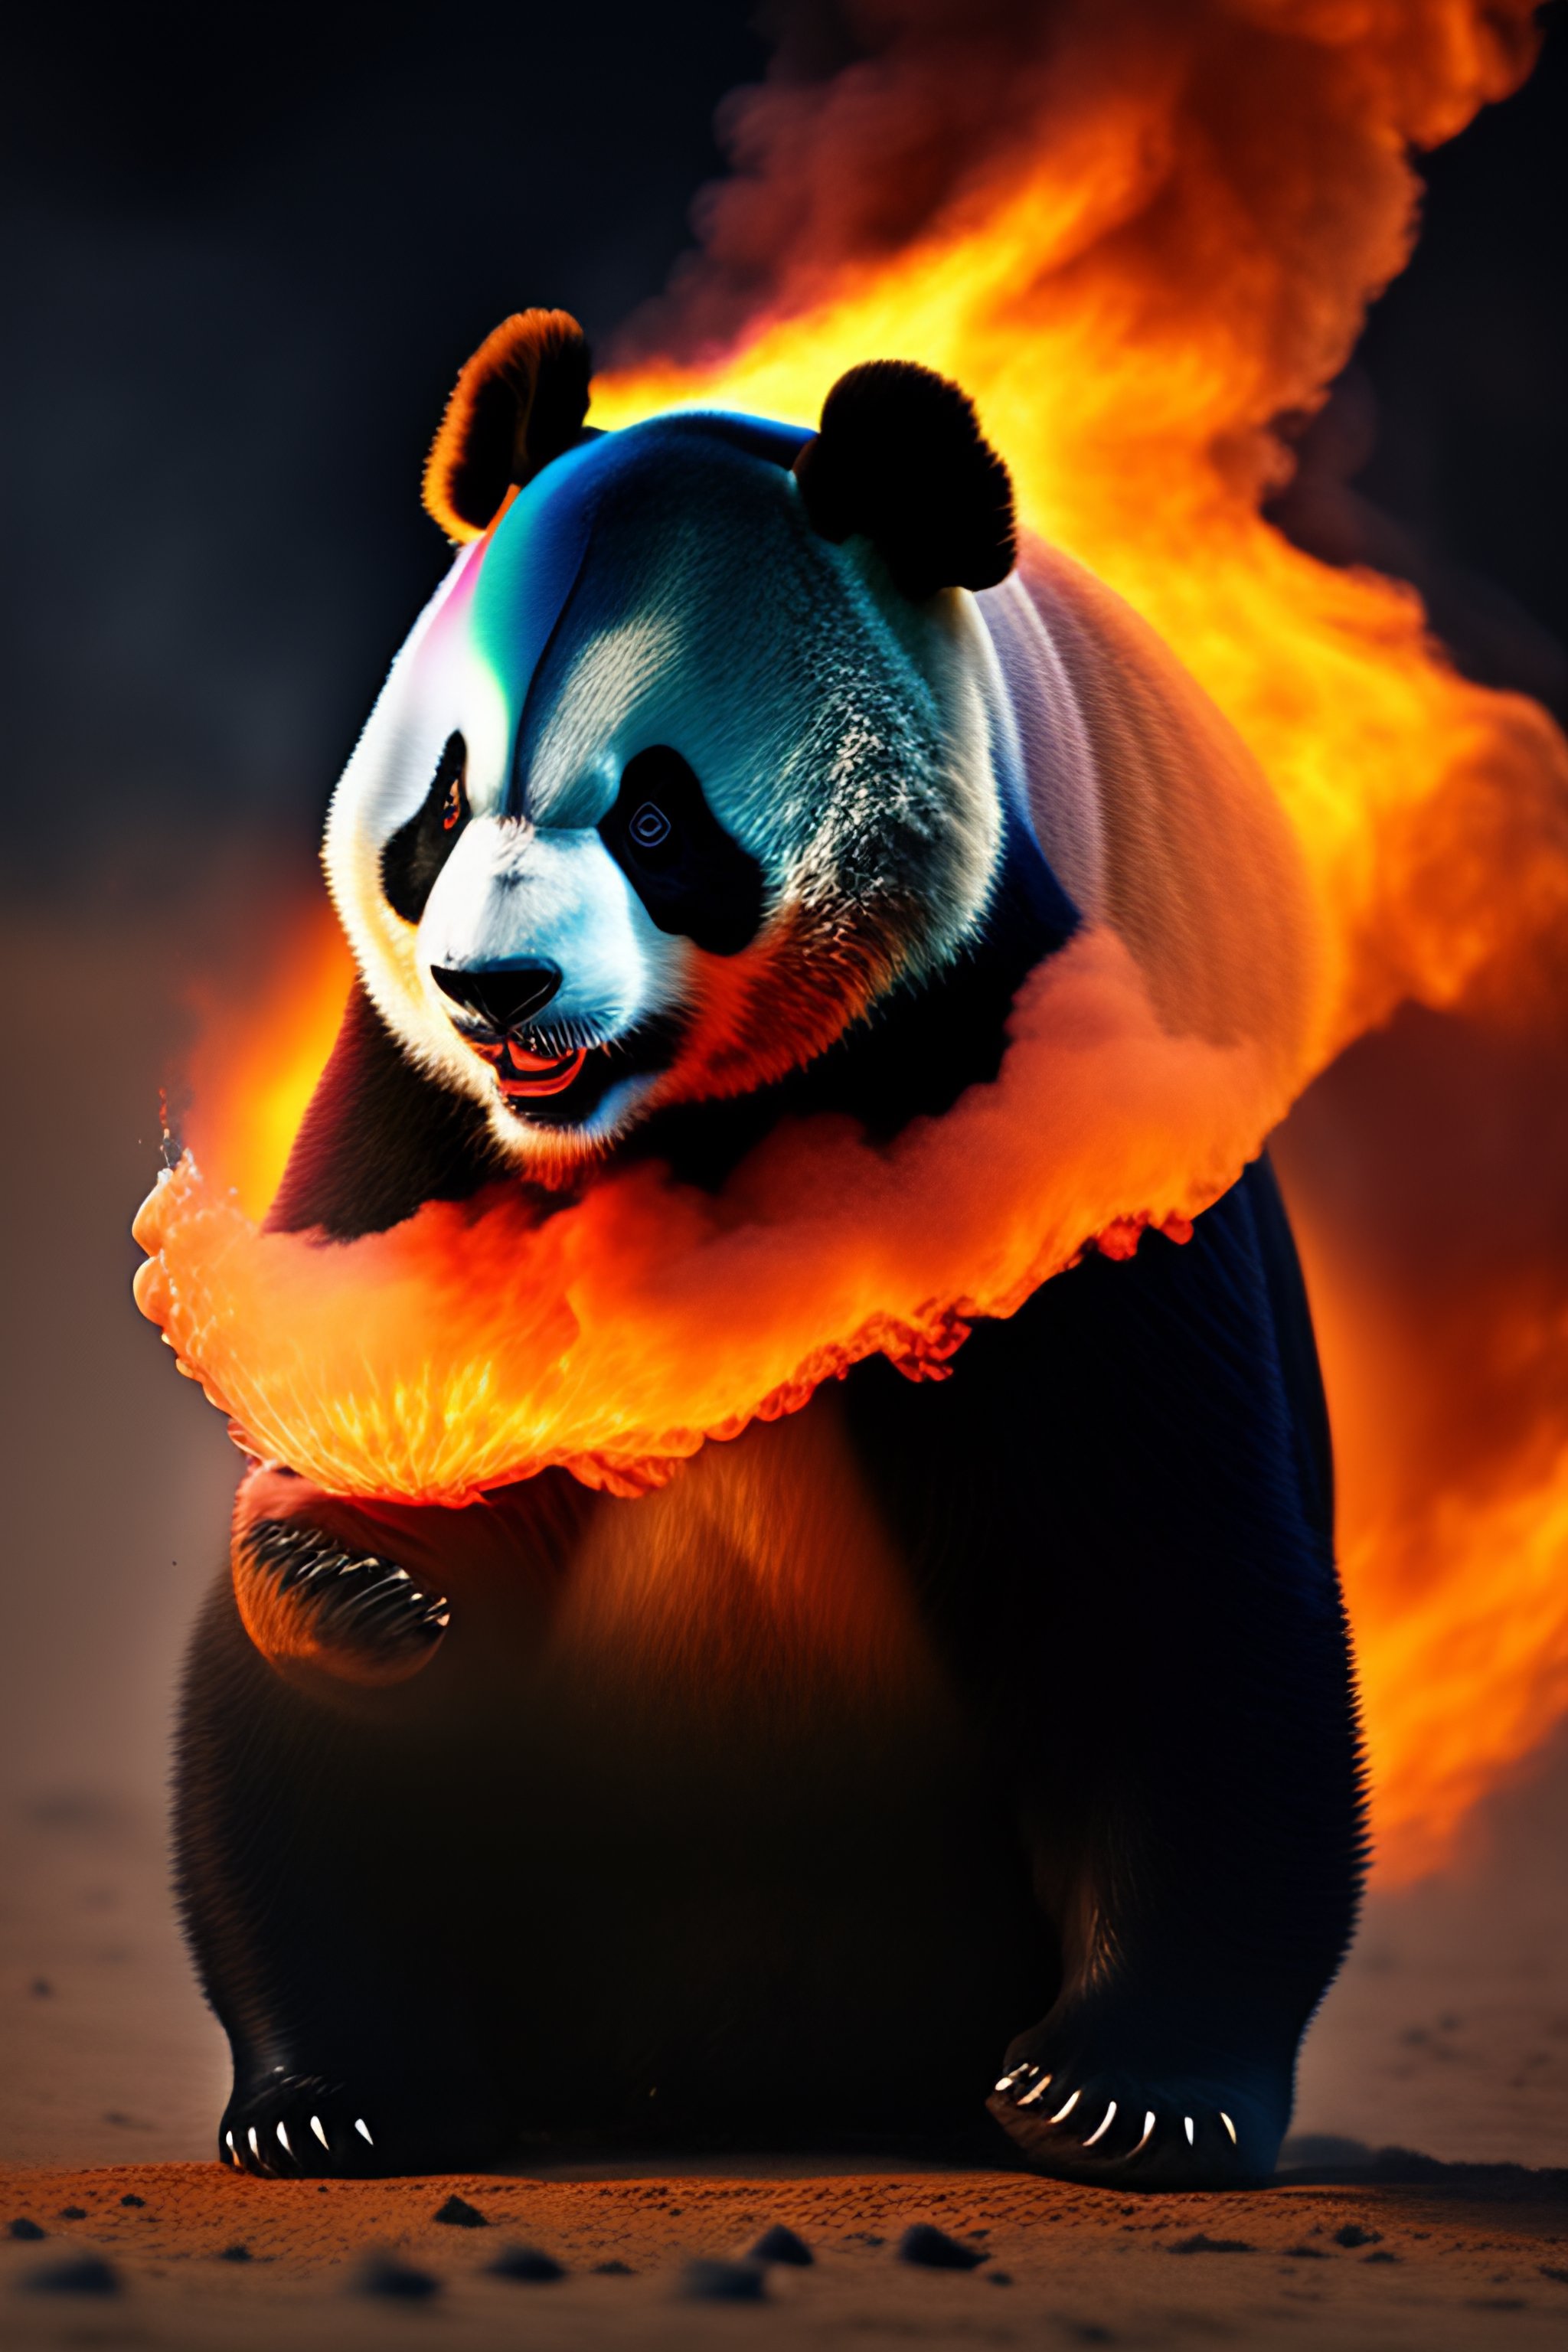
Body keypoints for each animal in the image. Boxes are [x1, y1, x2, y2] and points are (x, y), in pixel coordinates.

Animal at [174, 309, 1364, 2189]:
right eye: (440, 813)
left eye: (658, 823)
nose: (497, 989)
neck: (679, 1131)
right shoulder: (417, 1125)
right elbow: (370, 1427)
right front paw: (357, 1576)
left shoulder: (1018, 1087)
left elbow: (1153, 1557)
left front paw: (1134, 2090)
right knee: (274, 1765)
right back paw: (345, 2088)